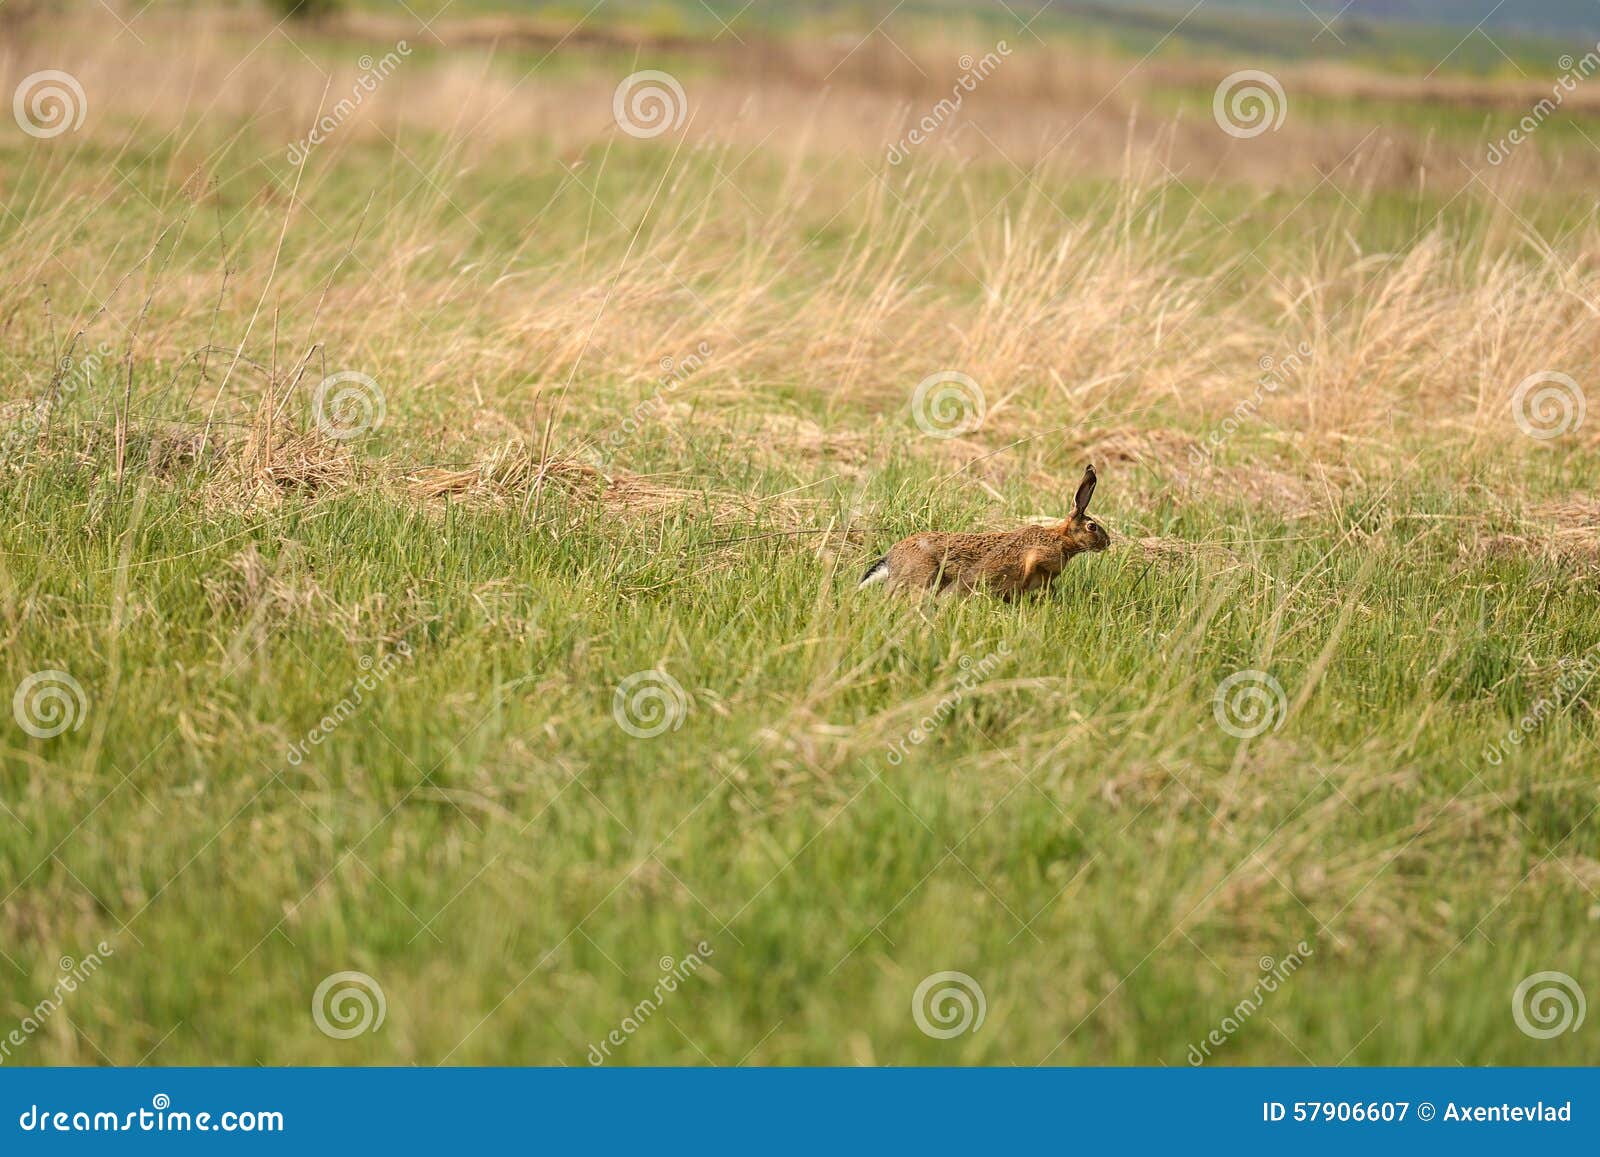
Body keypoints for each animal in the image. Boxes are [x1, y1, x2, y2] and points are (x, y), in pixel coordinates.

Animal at [859, 464, 1110, 598]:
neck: (1061, 538)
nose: (1108, 543)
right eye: (1092, 527)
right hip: (923, 576)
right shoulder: (1038, 556)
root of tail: (891, 559)